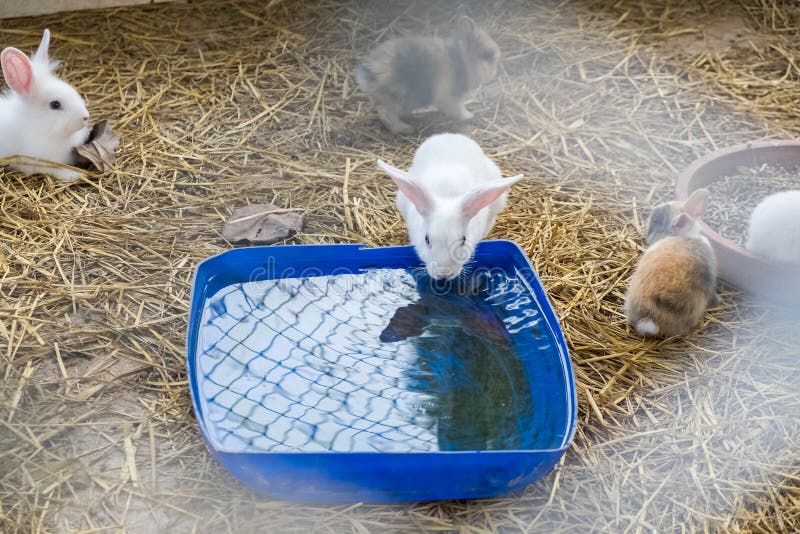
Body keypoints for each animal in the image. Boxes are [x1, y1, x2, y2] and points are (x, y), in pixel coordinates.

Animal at [356, 15, 500, 134]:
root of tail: (366, 72)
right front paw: (469, 116)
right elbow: (458, 110)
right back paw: (405, 128)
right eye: (487, 55)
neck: (463, 60)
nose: (495, 71)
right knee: (386, 115)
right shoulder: (451, 98)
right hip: (392, 100)